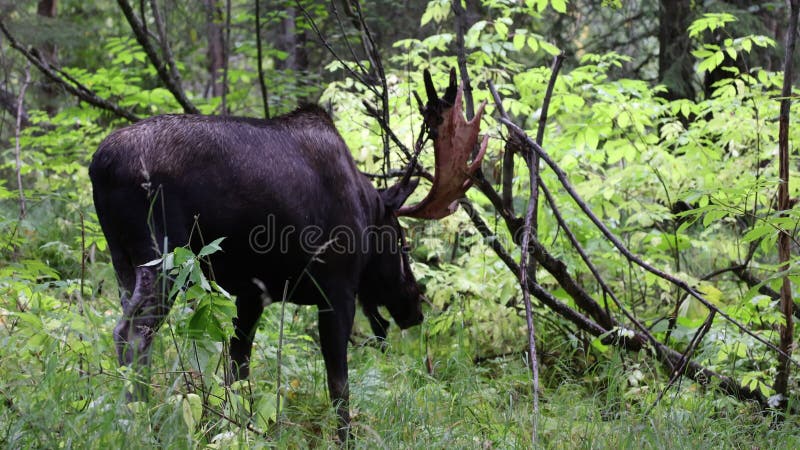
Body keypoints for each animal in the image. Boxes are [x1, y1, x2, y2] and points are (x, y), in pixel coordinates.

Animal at [88, 69, 487, 441]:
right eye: (401, 242)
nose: (415, 304)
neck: (366, 207)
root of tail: (99, 167)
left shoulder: (251, 295)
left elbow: (238, 369)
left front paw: (236, 428)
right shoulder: (336, 288)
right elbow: (339, 384)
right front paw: (344, 438)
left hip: (123, 264)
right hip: (164, 258)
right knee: (131, 334)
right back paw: (140, 425)